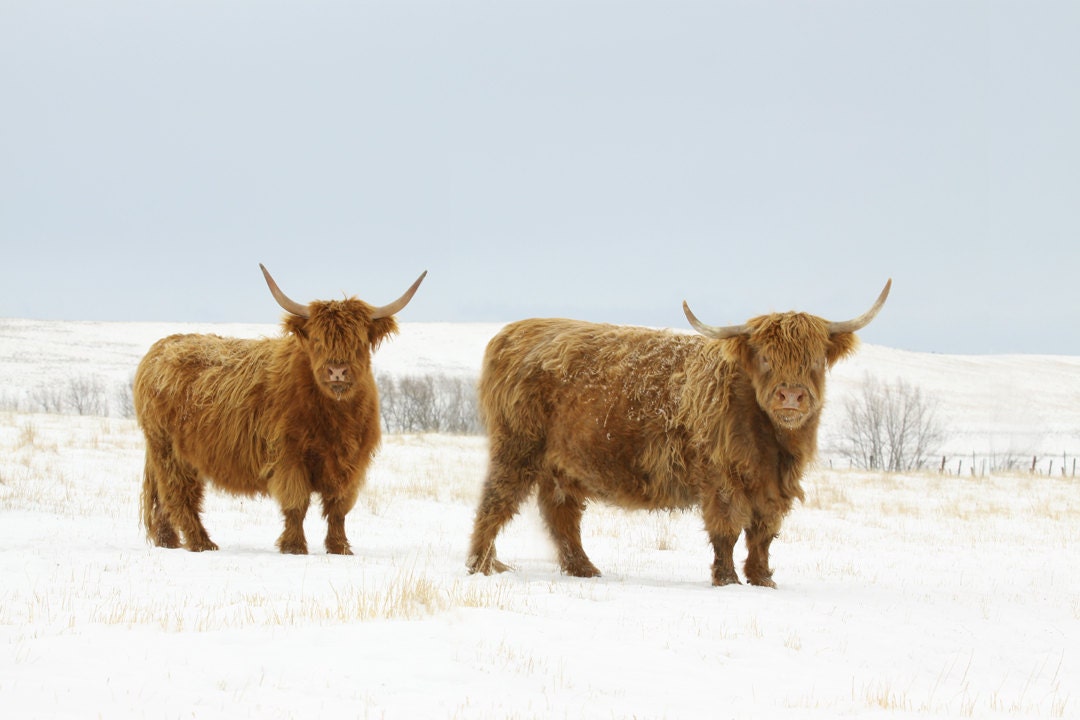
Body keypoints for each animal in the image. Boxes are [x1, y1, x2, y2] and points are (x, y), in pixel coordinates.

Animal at [134, 264, 426, 554]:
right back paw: (202, 543)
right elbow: (297, 504)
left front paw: (340, 547)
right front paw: (294, 546)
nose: (337, 371)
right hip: (170, 453)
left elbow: (338, 509)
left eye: (359, 341)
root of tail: (159, 348)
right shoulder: (289, 457)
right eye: (317, 340)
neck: (334, 416)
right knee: (179, 497)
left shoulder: (350, 464)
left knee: (164, 501)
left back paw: (168, 541)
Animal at [466, 281, 890, 587]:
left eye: (815, 359)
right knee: (496, 501)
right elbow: (727, 531)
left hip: (562, 464)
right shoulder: (721, 480)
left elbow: (763, 535)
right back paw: (481, 564)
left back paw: (584, 569)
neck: (772, 443)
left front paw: (763, 579)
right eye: (766, 358)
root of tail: (514, 331)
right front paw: (727, 580)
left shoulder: (775, 487)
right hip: (517, 448)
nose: (790, 395)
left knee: (561, 514)